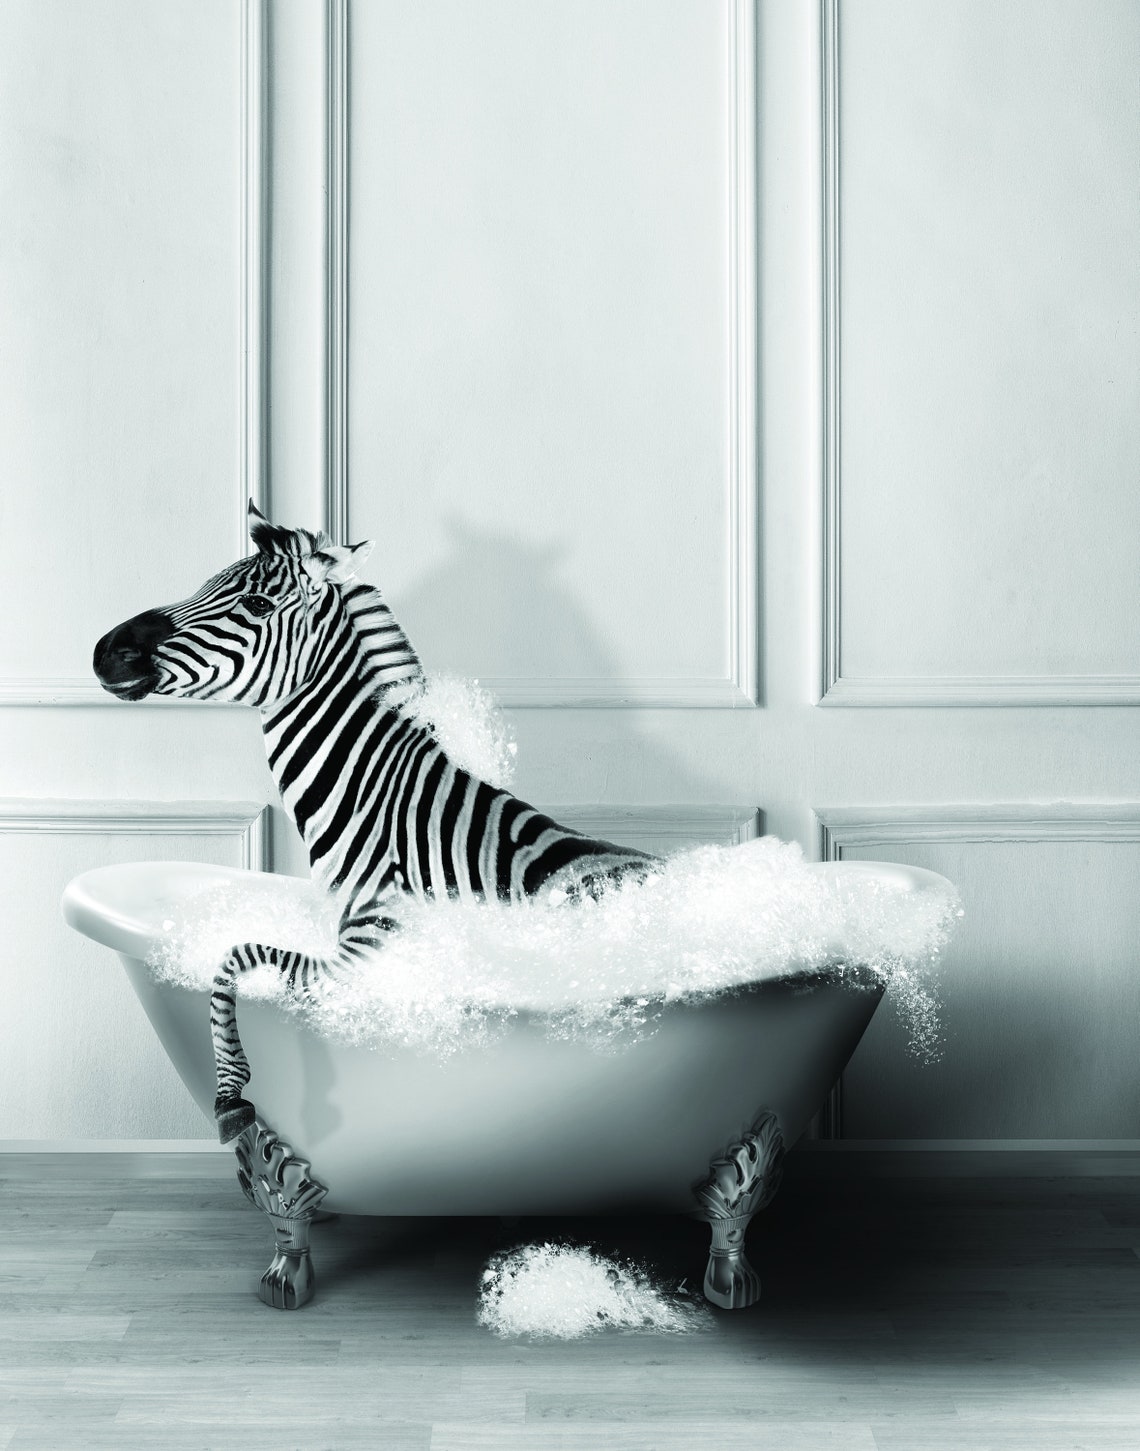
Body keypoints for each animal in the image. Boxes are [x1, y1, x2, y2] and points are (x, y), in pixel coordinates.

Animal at [94, 502, 657, 1142]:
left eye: (258, 605)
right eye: (204, 585)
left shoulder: (370, 951)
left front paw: (232, 1098)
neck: (388, 810)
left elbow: (233, 955)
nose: (106, 650)